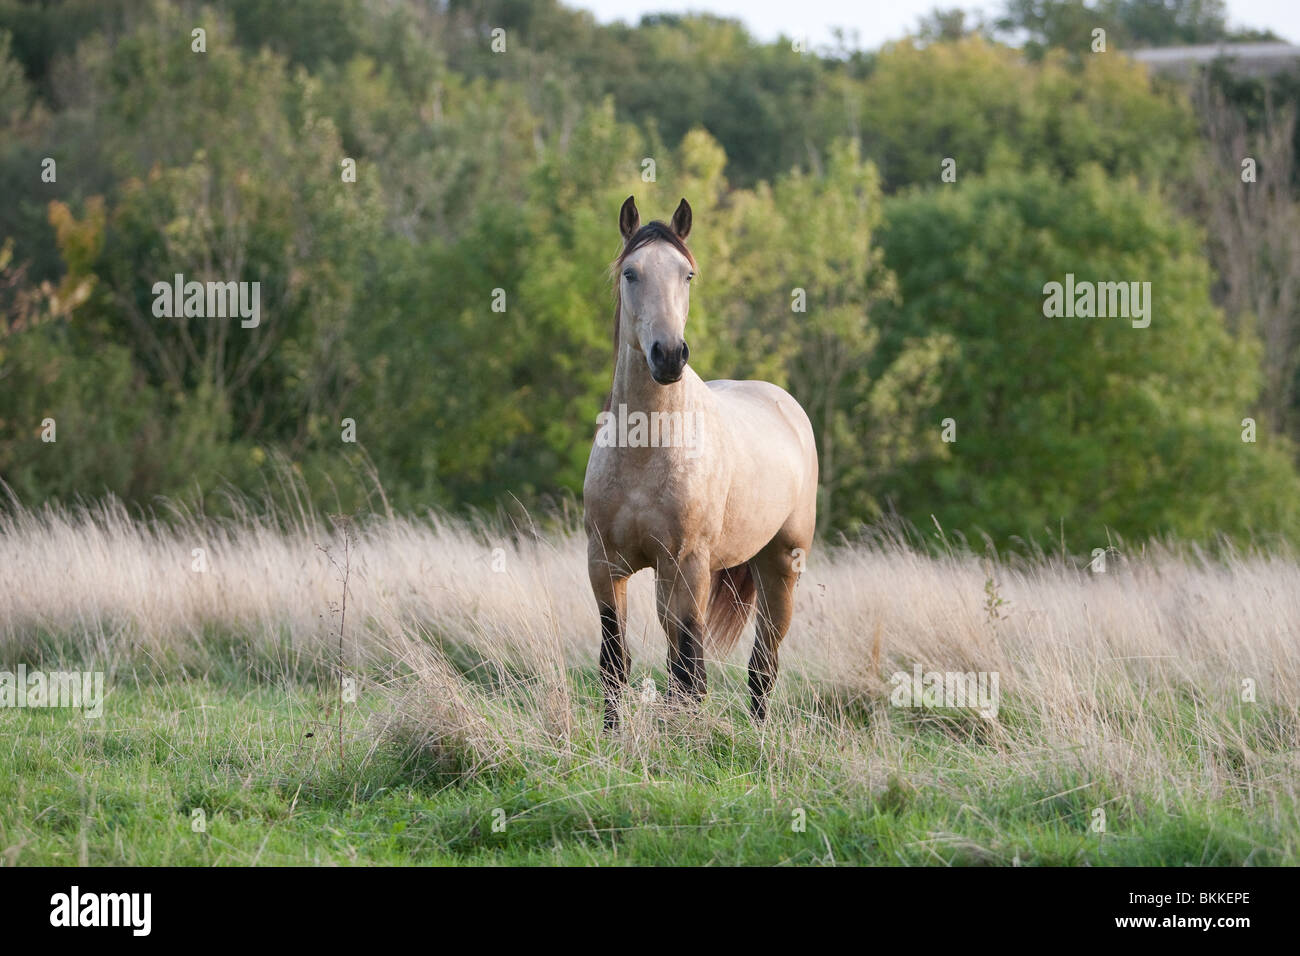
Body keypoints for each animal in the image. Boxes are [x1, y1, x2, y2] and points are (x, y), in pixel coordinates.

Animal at [583, 195, 819, 729]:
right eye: (630, 272)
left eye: (686, 274)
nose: (669, 355)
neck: (646, 453)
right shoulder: (605, 565)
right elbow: (615, 663)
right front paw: (611, 736)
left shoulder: (688, 565)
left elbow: (693, 673)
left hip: (779, 566)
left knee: (763, 664)